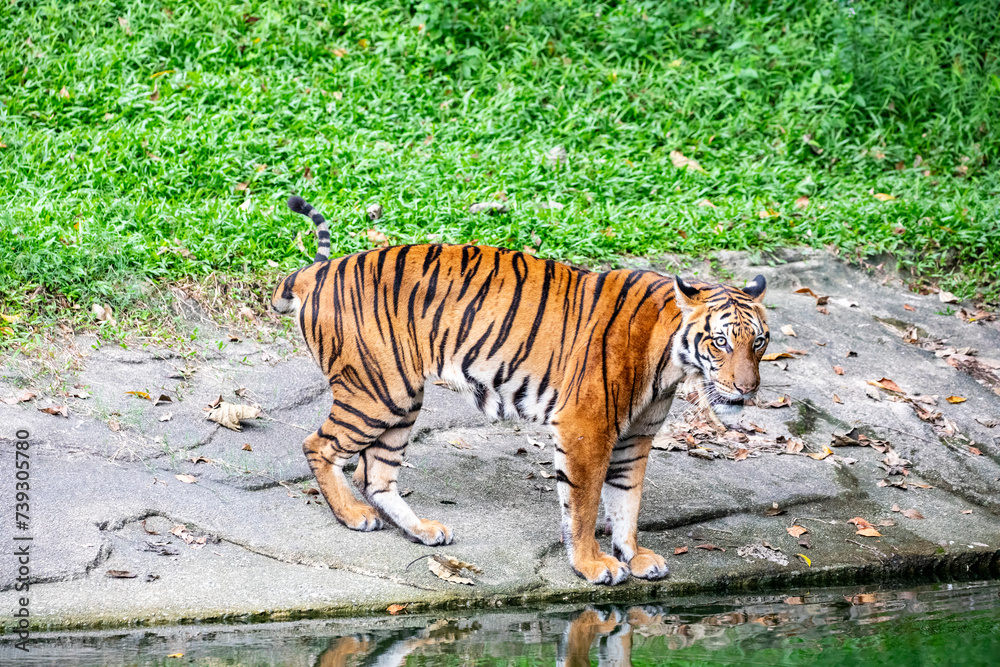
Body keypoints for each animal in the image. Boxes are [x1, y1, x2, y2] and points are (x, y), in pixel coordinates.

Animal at [272, 196, 769, 585]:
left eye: (759, 342)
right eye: (720, 342)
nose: (747, 389)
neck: (670, 365)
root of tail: (316, 273)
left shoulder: (635, 438)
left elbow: (627, 501)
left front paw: (635, 556)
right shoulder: (586, 430)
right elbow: (585, 505)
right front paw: (592, 565)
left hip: (402, 398)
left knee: (375, 474)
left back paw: (422, 530)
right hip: (378, 391)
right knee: (319, 445)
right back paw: (353, 516)